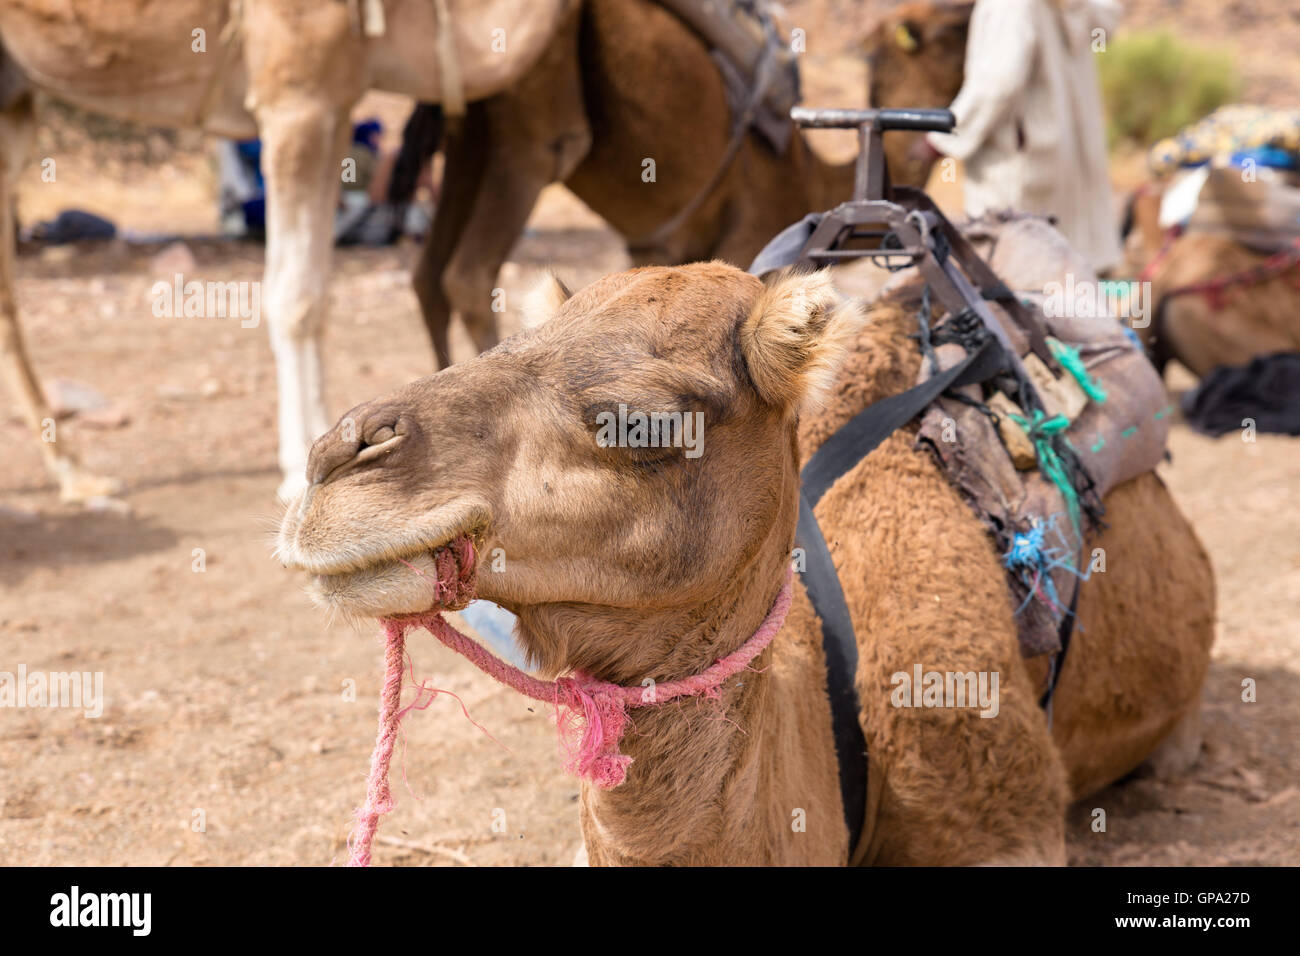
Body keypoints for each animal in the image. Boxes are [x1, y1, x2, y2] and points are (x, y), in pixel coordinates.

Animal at [0, 0, 577, 501]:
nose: (565, 141)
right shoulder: (294, 99)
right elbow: (294, 298)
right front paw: (297, 466)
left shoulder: (334, 105)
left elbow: (318, 294)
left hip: (15, 100)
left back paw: (76, 473)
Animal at [410, 0, 856, 369]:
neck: (810, 174)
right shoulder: (752, 234)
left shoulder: (656, 249)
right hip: (527, 129)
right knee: (468, 276)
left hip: (470, 132)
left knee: (429, 277)